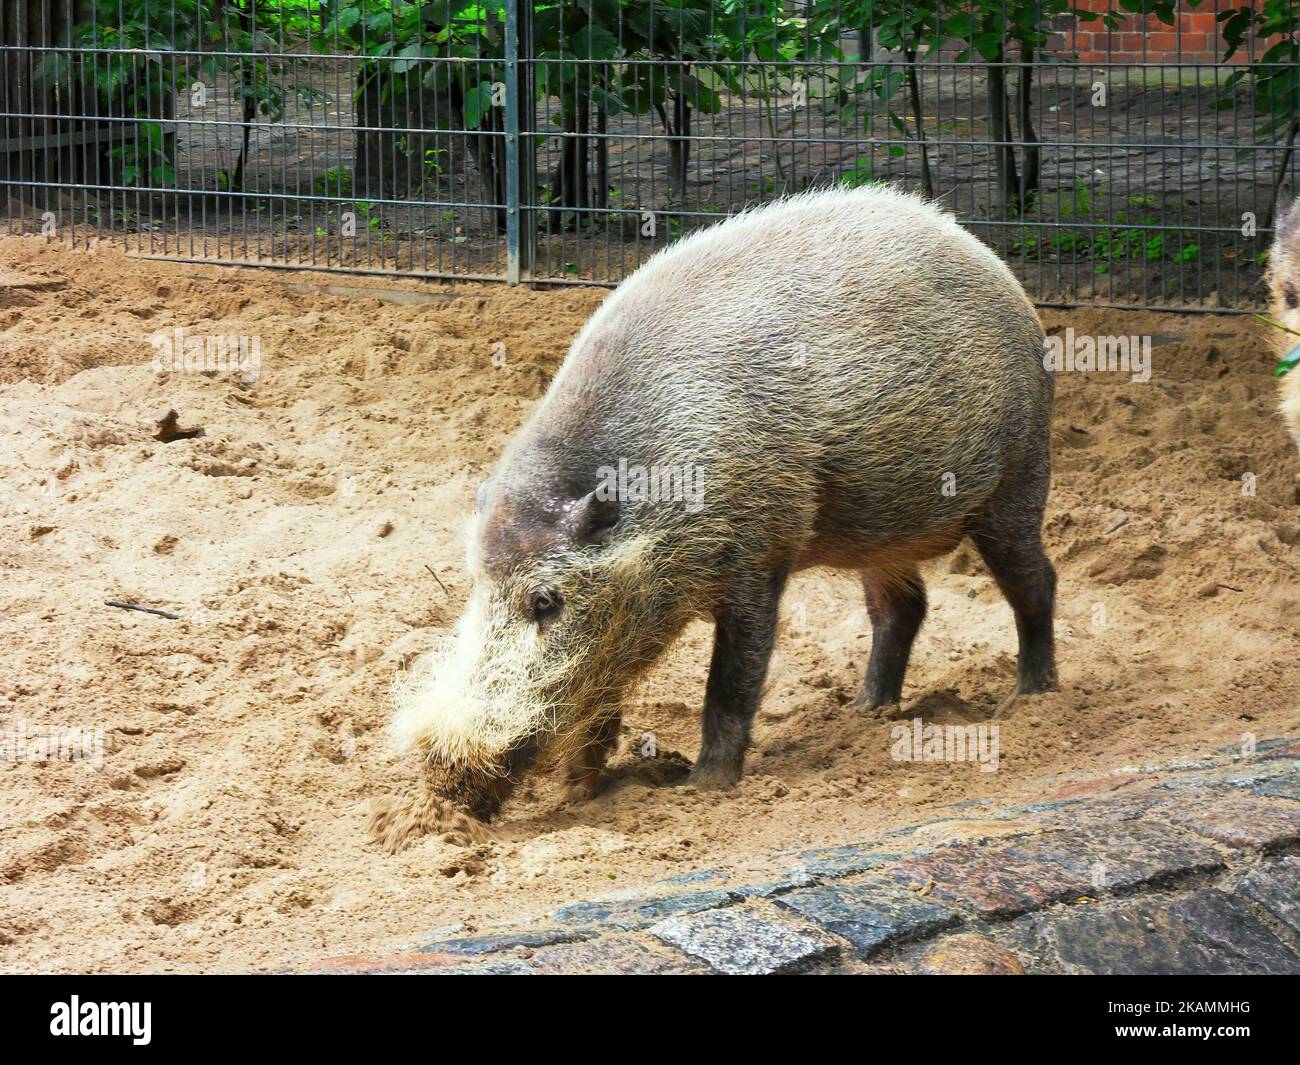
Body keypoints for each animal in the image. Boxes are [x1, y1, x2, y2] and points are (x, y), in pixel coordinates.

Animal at [383, 185, 1057, 834]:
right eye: (476, 586)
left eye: (546, 602)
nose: (445, 772)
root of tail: (996, 268)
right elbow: (603, 690)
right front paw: (581, 793)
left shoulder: (759, 552)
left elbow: (732, 680)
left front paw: (702, 787)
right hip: (883, 534)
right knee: (902, 607)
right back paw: (866, 711)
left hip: (1019, 477)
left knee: (1035, 581)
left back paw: (1030, 699)